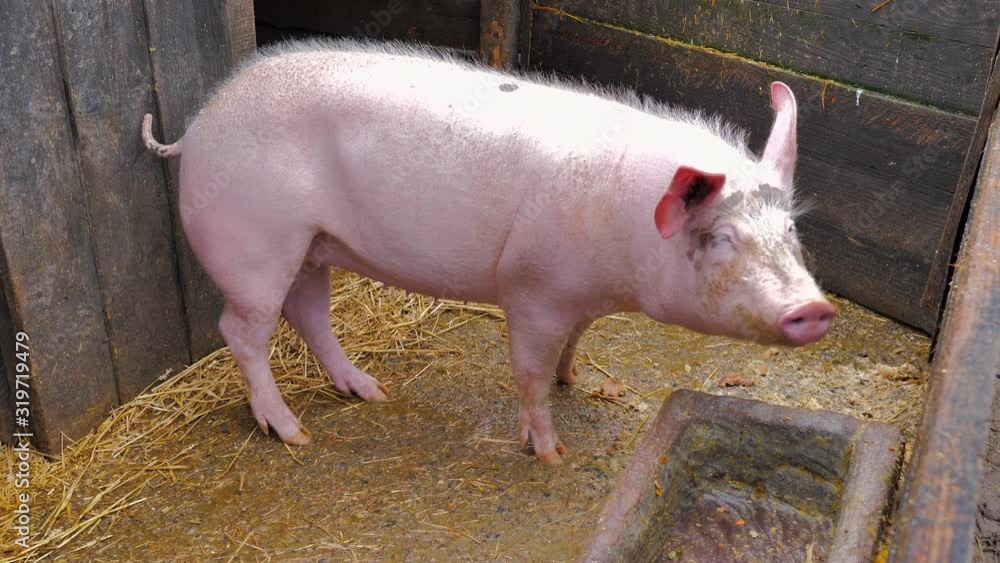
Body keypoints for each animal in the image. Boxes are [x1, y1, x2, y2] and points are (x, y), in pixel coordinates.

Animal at [141, 39, 835, 464]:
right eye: (722, 239)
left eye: (790, 231)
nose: (816, 309)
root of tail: (195, 129)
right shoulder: (533, 289)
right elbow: (527, 371)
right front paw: (551, 454)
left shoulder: (578, 298)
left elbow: (575, 343)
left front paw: (575, 380)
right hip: (254, 246)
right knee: (242, 329)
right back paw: (295, 435)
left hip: (312, 244)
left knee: (309, 314)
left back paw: (371, 393)